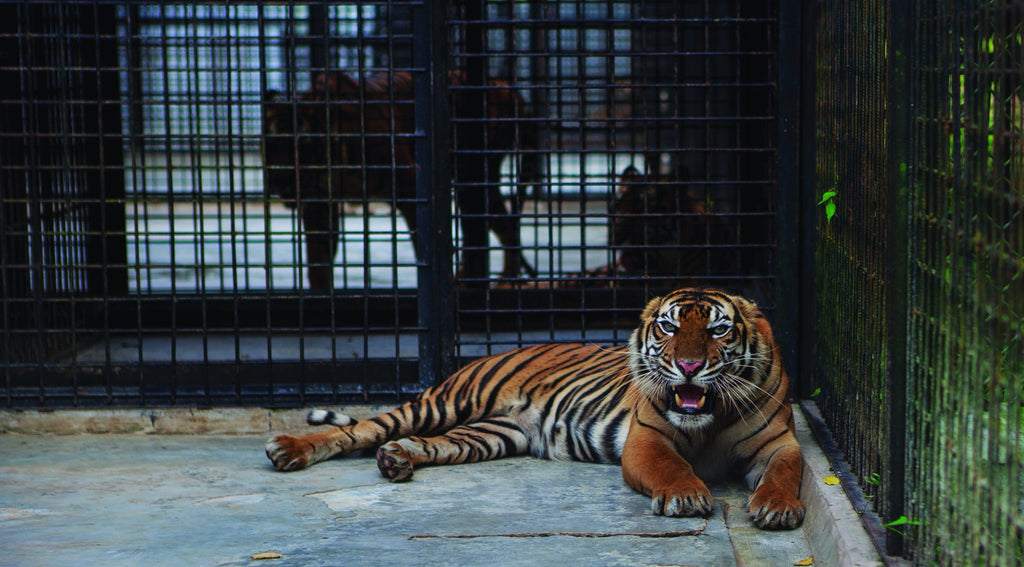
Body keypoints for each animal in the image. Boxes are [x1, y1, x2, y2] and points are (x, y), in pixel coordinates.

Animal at [262, 70, 538, 290]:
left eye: (302, 147)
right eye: (270, 146)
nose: (280, 184)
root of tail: (504, 83)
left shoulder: (411, 189)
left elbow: (424, 248)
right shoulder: (317, 205)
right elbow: (318, 261)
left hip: (474, 178)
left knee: (497, 227)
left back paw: (499, 281)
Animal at [265, 288, 805, 530]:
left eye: (718, 330)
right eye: (669, 327)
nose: (689, 365)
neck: (709, 417)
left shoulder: (780, 444)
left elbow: (783, 474)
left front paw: (777, 507)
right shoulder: (647, 439)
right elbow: (672, 467)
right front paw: (686, 496)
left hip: (490, 435)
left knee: (429, 444)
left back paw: (396, 459)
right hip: (445, 401)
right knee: (359, 431)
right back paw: (288, 449)